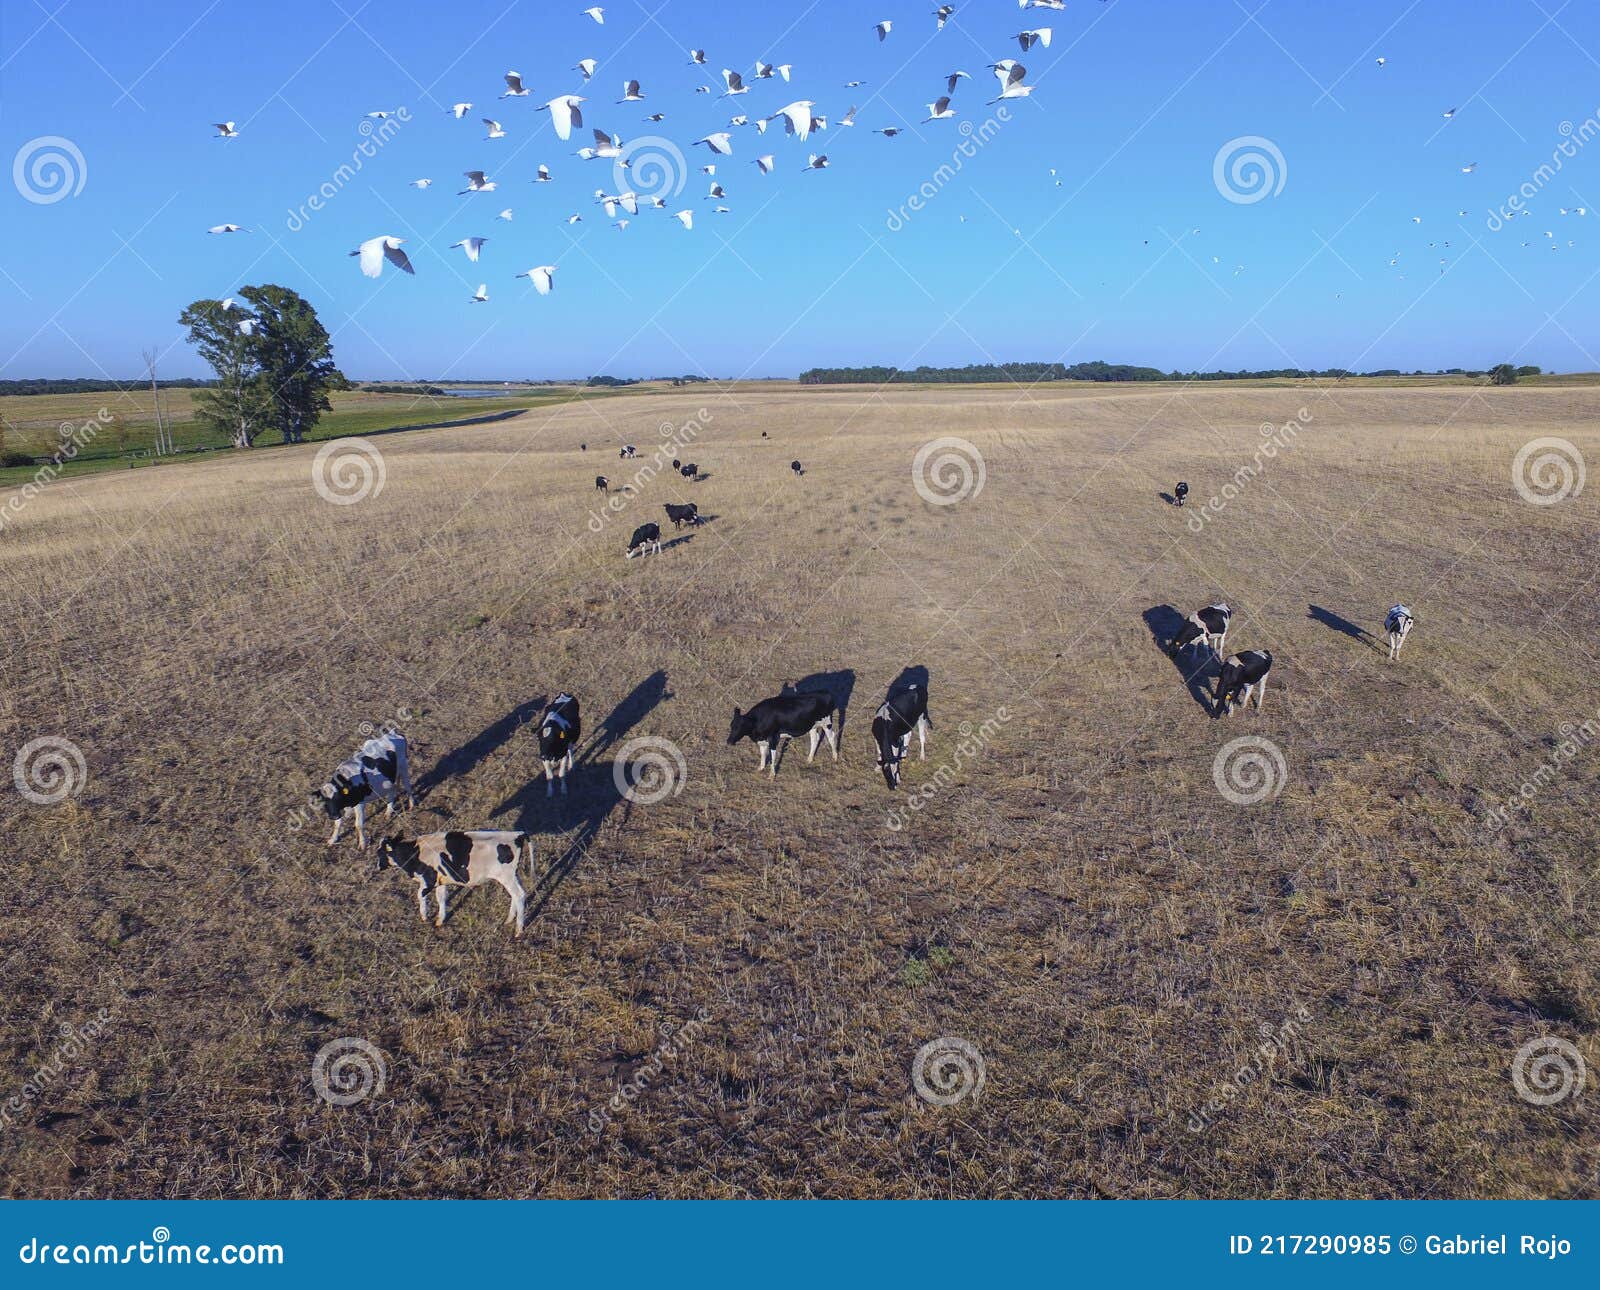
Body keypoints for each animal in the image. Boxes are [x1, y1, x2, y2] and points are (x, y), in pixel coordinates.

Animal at [376, 831, 532, 934]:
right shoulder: (441, 881)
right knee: (518, 894)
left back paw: (518, 930)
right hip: (513, 876)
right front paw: (440, 920)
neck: (416, 852)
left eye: (379, 853)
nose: (378, 867)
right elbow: (441, 898)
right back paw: (509, 920)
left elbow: (420, 895)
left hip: (506, 877)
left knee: (519, 895)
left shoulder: (428, 880)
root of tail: (517, 834)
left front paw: (424, 916)